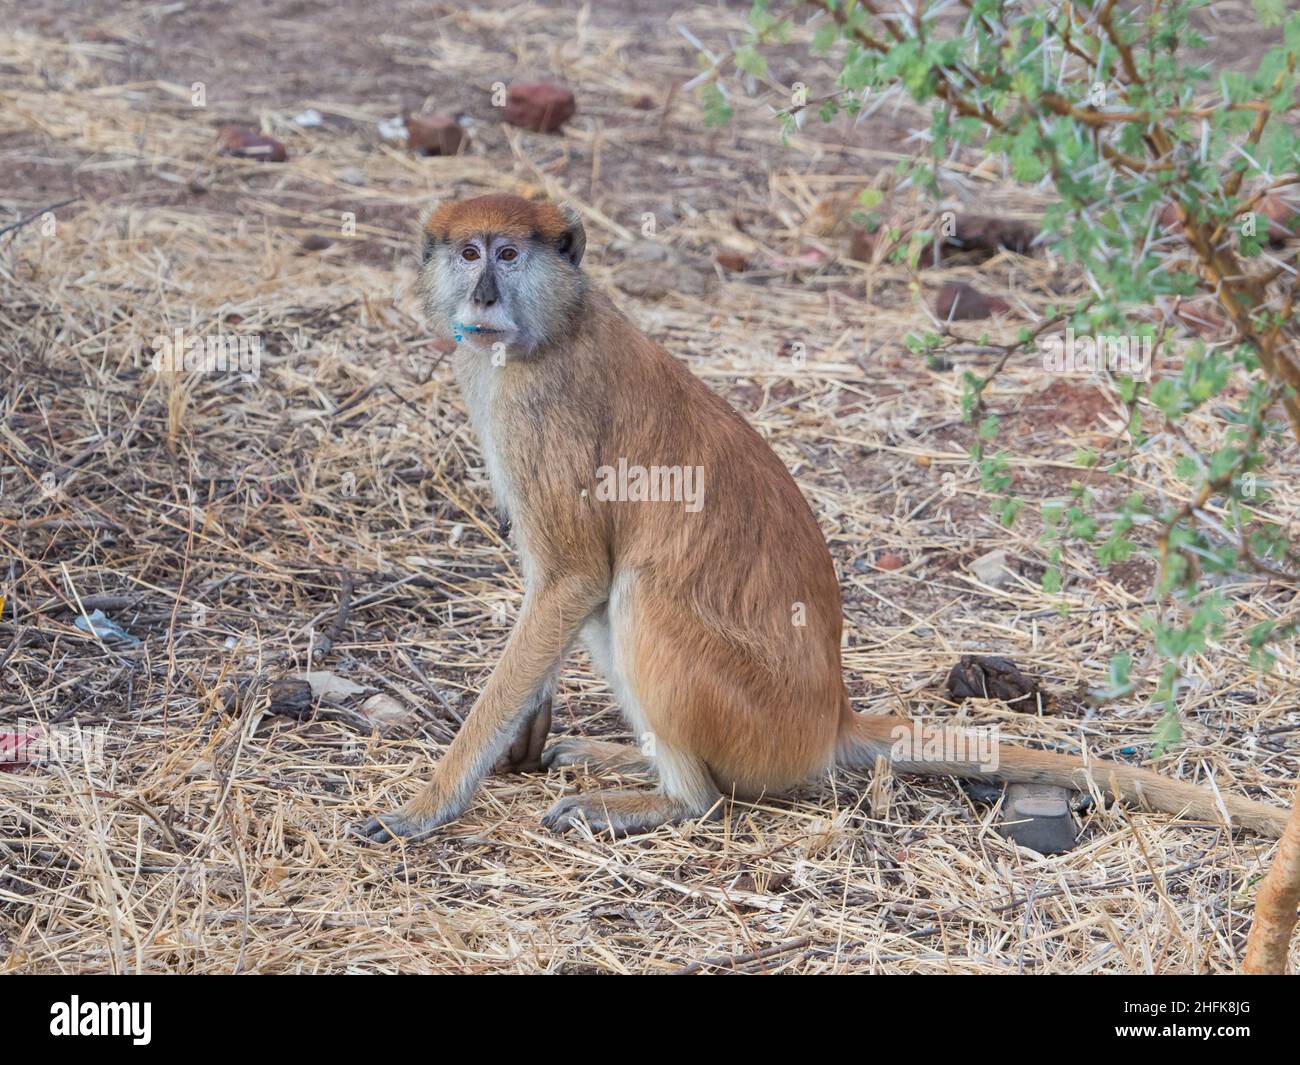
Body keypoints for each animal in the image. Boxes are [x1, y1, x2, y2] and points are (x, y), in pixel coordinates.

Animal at [357, 193, 1288, 844]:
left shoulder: (537, 408)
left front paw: (426, 803)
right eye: (470, 251)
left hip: (746, 705)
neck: (561, 320)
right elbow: (555, 587)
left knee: (637, 595)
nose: (483, 291)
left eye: (509, 255)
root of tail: (829, 717)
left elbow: (575, 576)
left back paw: (673, 798)